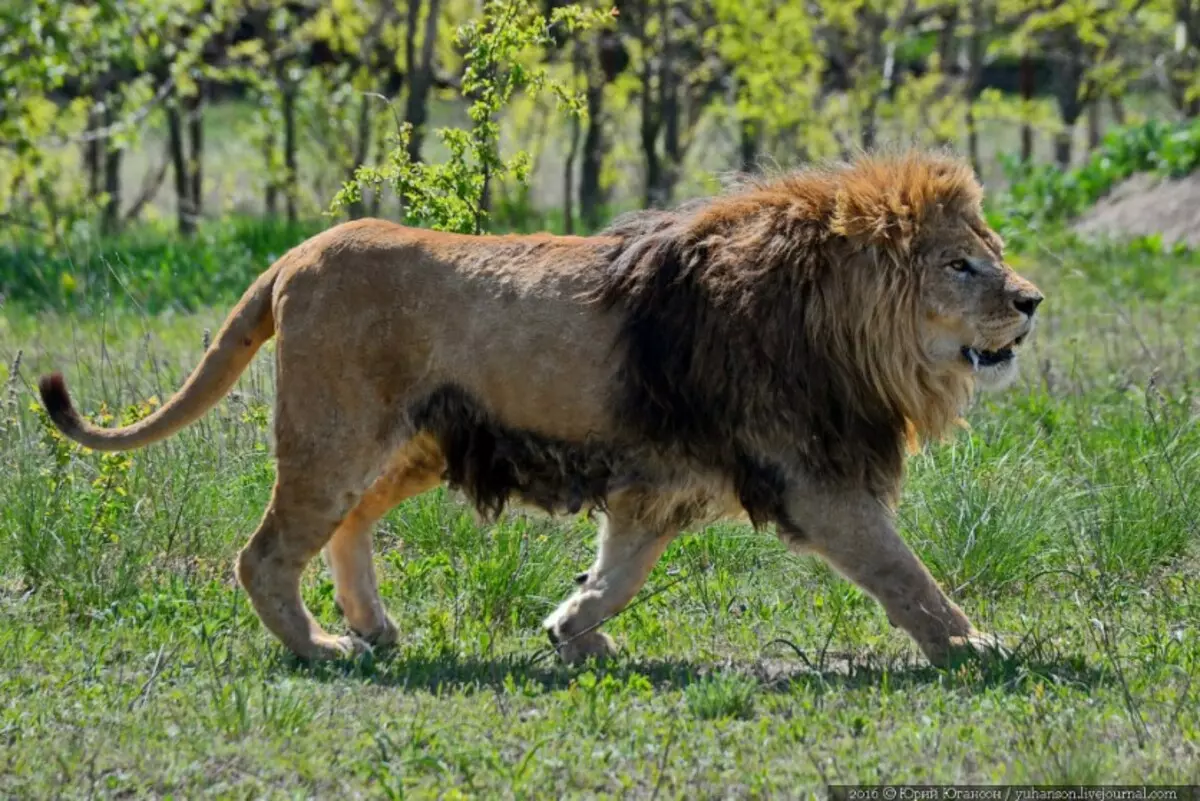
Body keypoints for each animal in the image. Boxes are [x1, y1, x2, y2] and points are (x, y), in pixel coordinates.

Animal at [39, 149, 1041, 671]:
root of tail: (297, 252)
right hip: (332, 435)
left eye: (992, 253)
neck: (844, 322)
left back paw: (372, 627)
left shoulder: (658, 486)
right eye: (963, 264)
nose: (1030, 300)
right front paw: (979, 645)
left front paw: (573, 630)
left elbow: (619, 570)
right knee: (264, 553)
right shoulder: (812, 476)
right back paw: (323, 646)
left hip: (409, 445)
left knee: (345, 525)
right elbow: (906, 575)